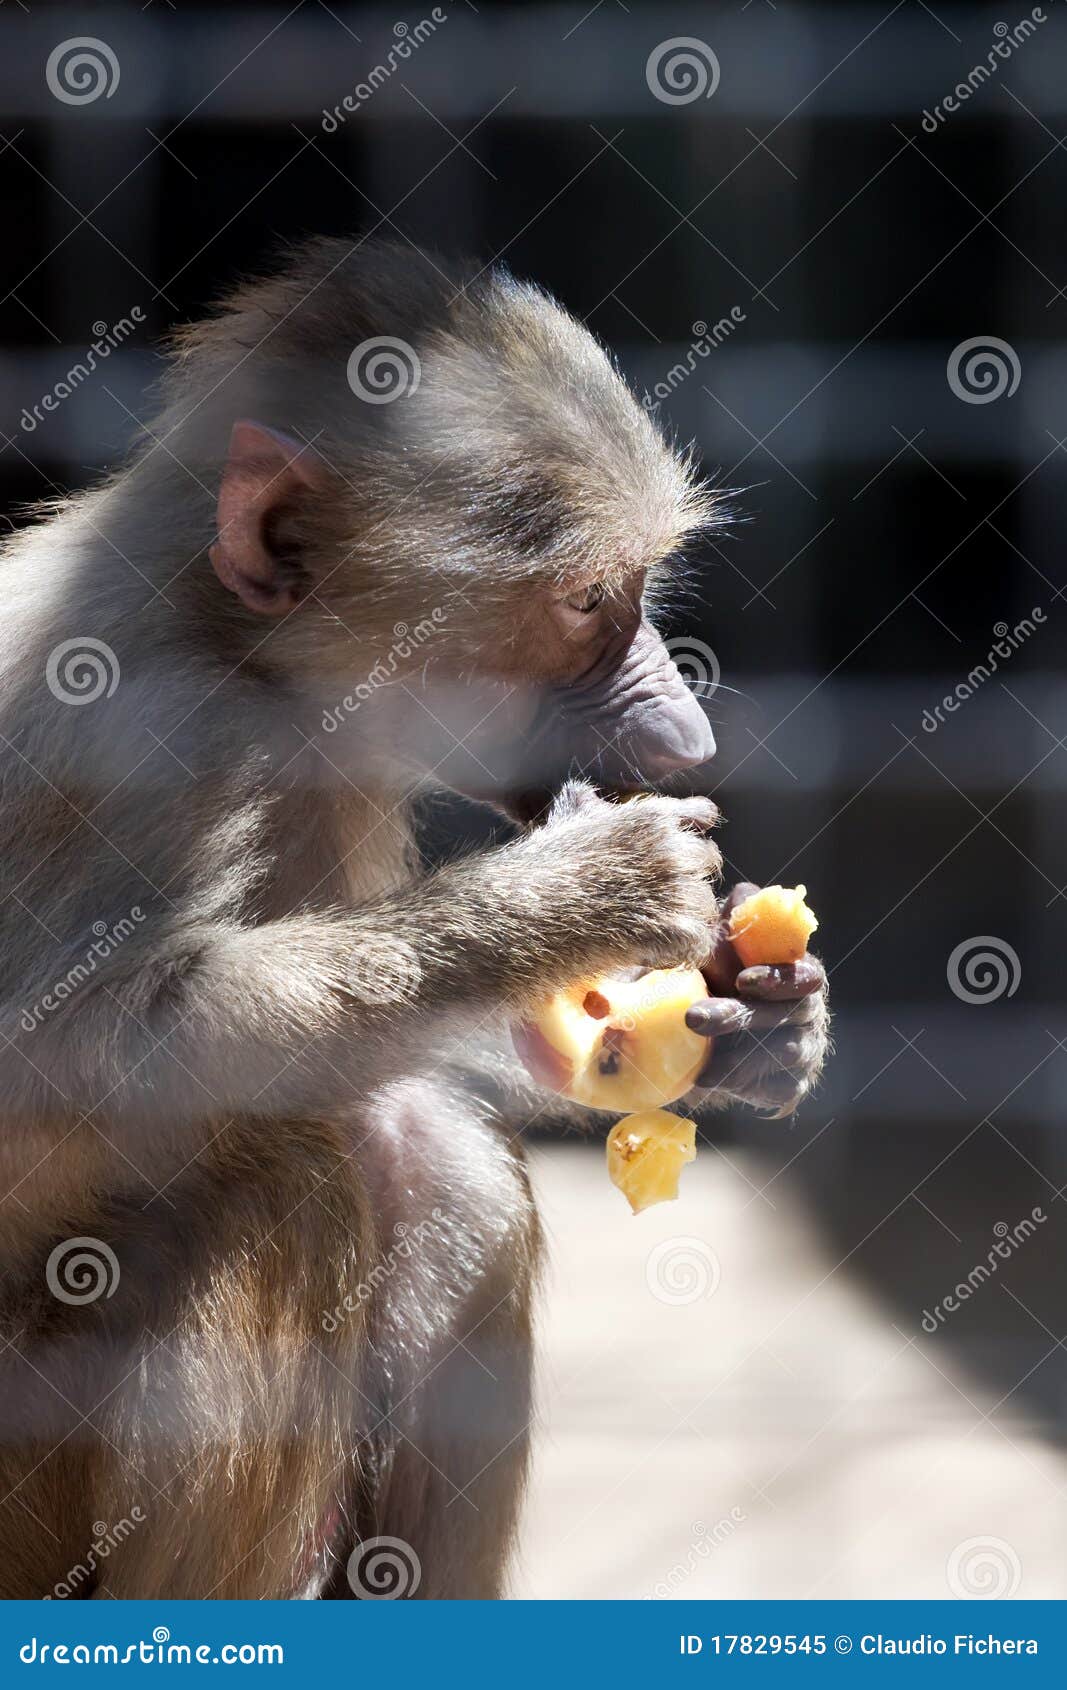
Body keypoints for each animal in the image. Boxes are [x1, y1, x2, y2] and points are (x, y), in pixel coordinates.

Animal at [0, 238, 827, 1599]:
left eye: (634, 588)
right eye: (587, 601)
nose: (687, 735)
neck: (235, 647)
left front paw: (754, 1024)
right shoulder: (128, 720)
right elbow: (58, 1061)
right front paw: (572, 895)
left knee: (429, 1157)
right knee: (287, 1183)